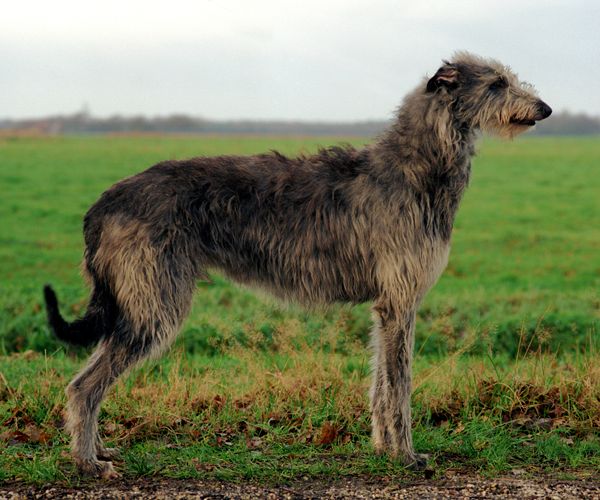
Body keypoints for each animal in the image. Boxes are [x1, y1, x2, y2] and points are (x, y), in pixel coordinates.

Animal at [44, 51, 552, 476]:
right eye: (497, 83)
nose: (545, 109)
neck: (414, 167)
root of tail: (103, 202)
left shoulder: (386, 307)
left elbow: (380, 385)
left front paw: (383, 449)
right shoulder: (400, 301)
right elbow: (400, 386)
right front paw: (406, 456)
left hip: (136, 298)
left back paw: (95, 448)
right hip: (154, 300)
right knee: (84, 385)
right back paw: (87, 463)